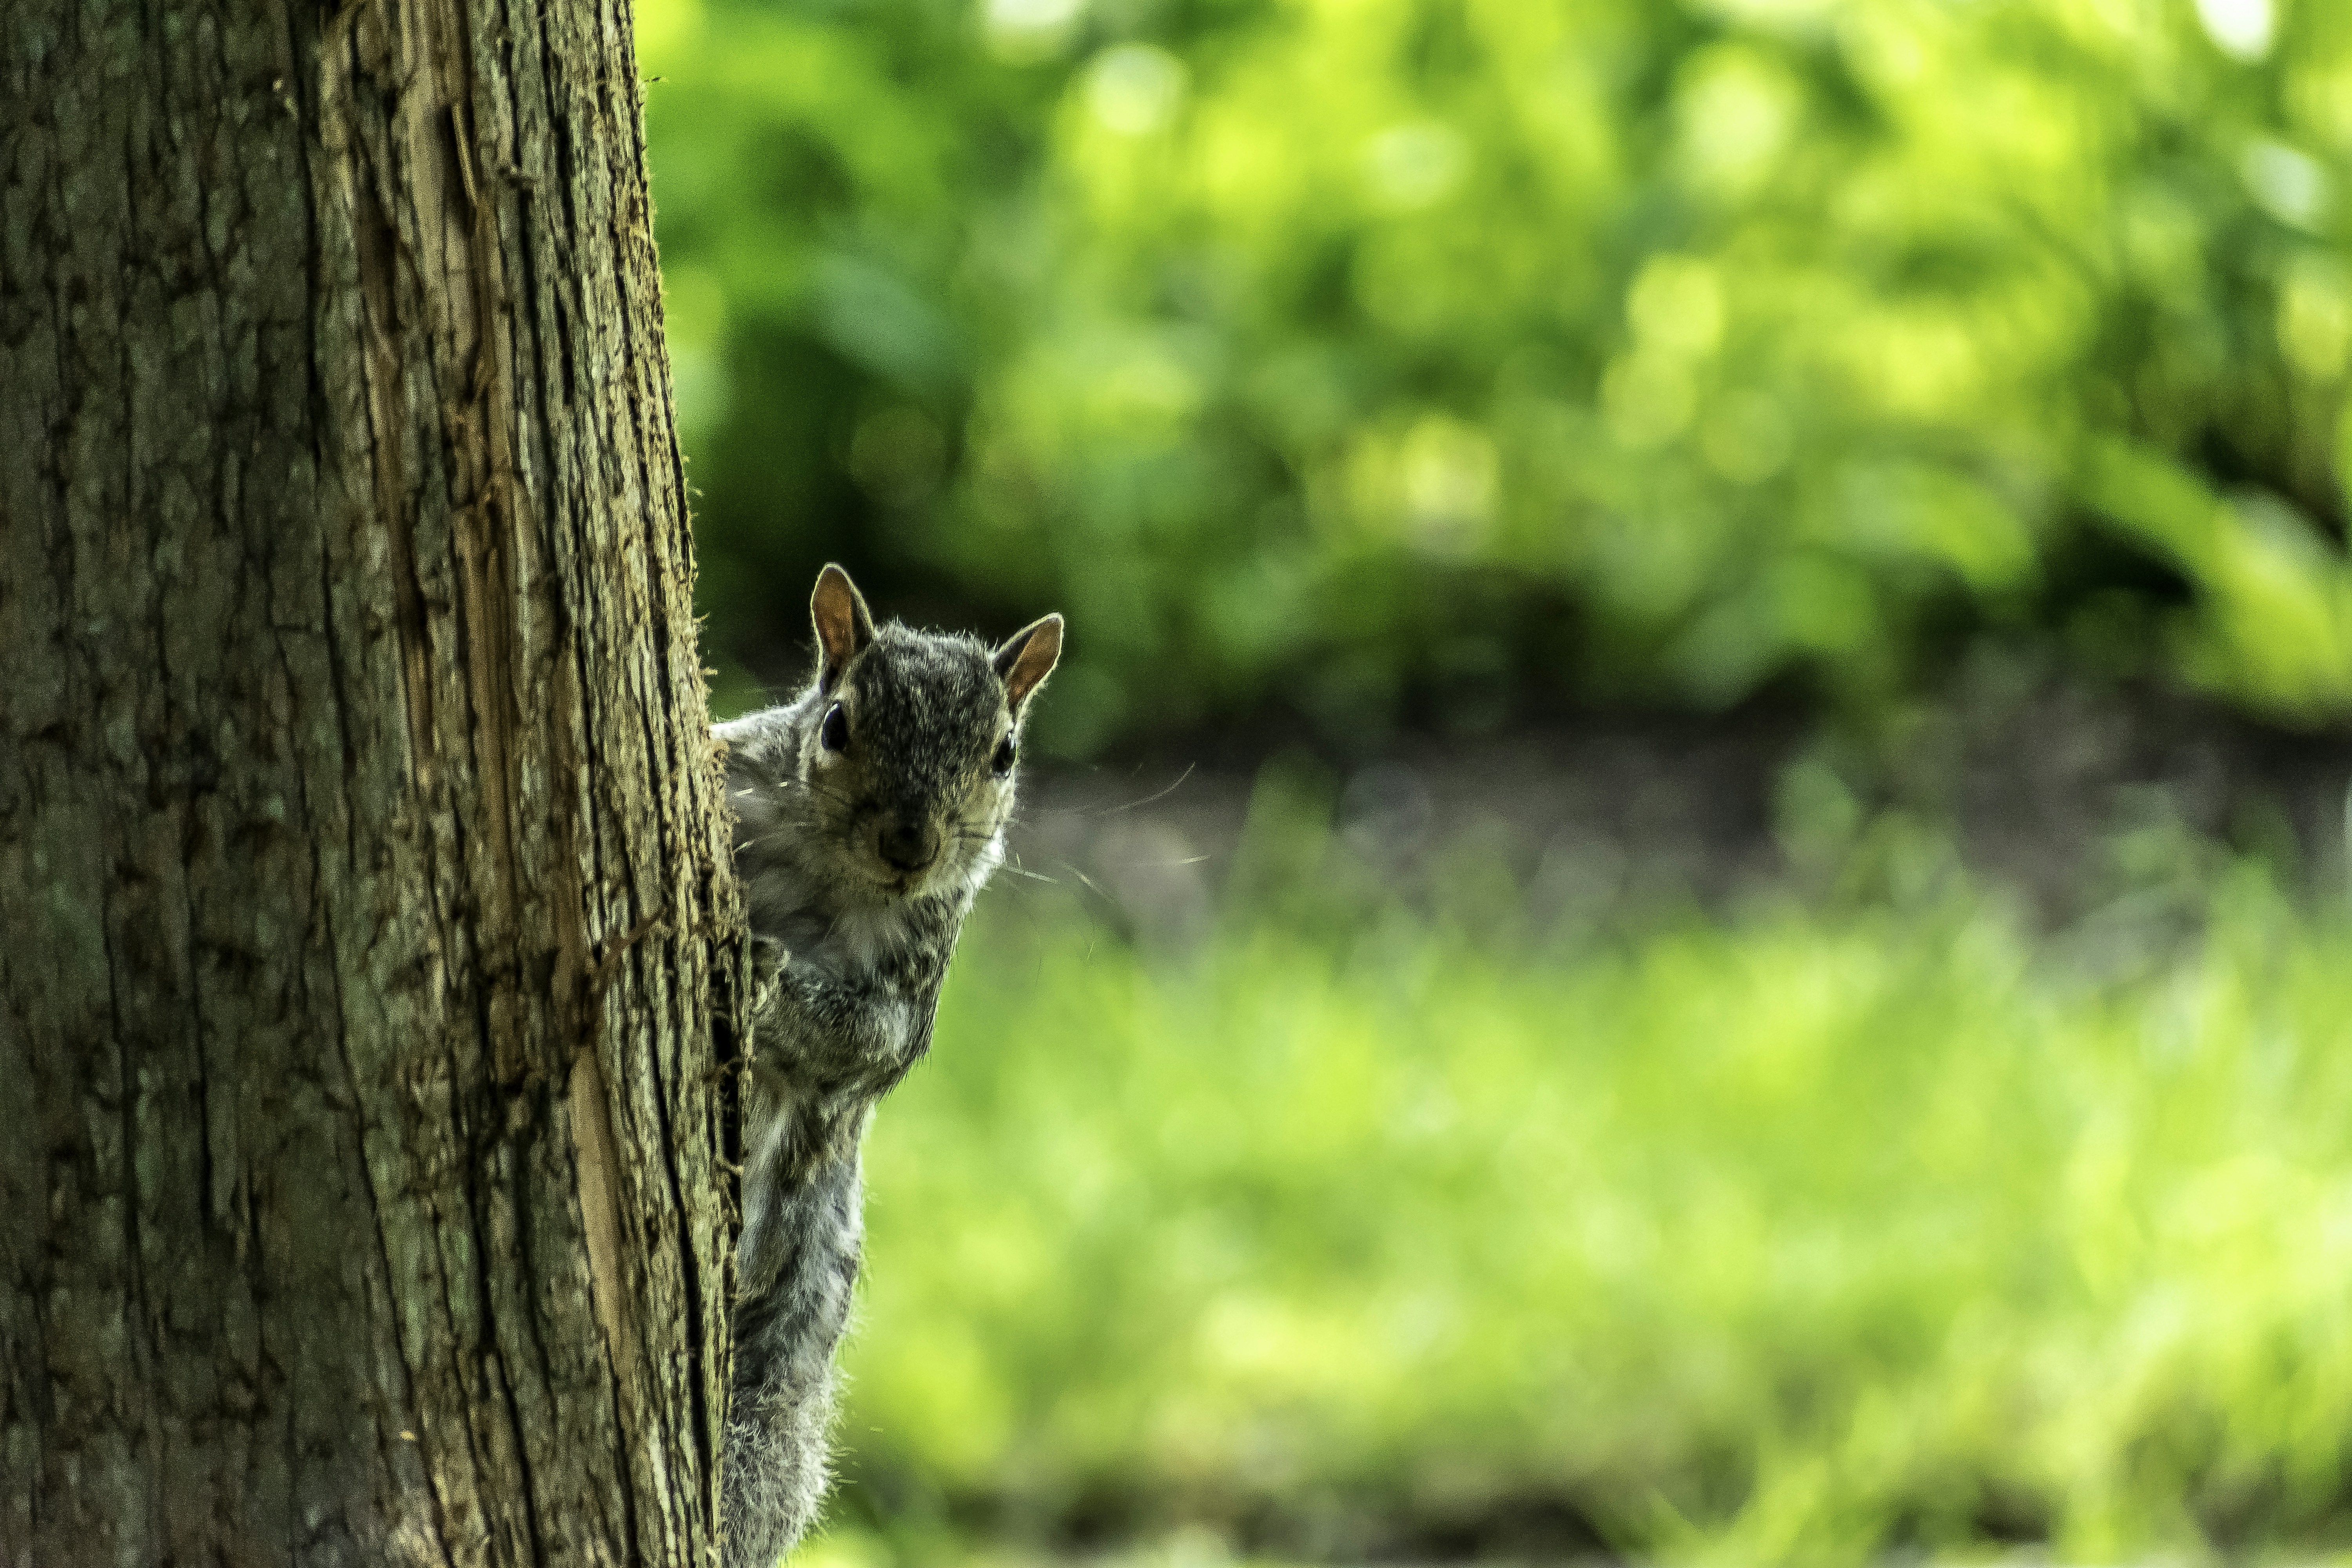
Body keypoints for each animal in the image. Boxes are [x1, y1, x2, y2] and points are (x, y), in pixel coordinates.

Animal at [713, 564, 1062, 1568]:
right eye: (837, 724)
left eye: (1004, 753)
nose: (912, 844)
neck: (826, 873)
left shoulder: (908, 993)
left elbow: (854, 1035)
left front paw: (769, 976)